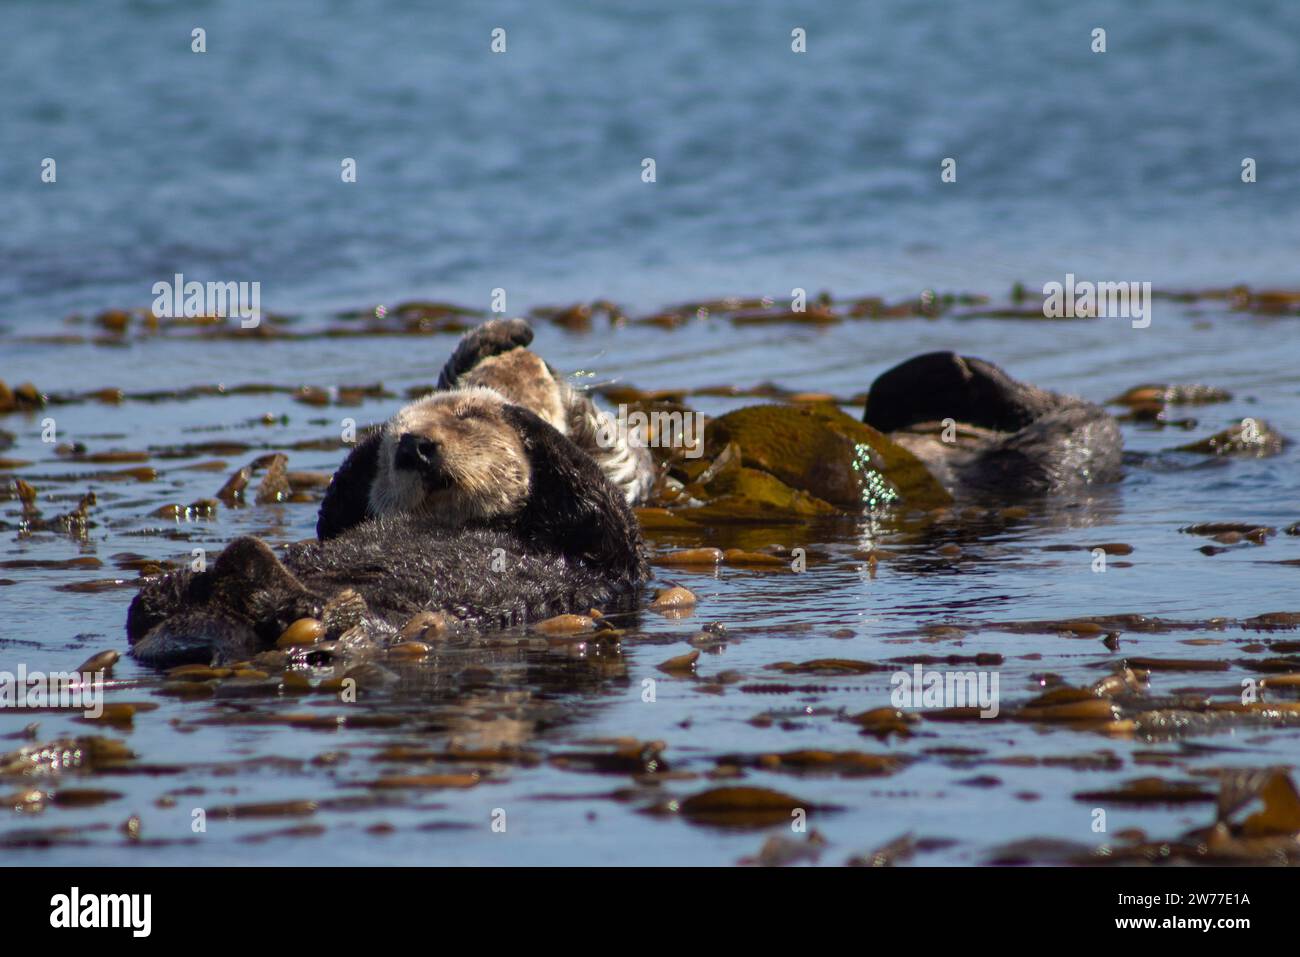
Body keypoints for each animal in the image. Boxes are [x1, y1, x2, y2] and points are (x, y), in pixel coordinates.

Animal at [128, 389, 648, 667]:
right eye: (397, 443)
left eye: (468, 420)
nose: (413, 445)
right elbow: (334, 513)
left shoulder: (608, 559)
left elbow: (606, 508)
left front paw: (510, 408)